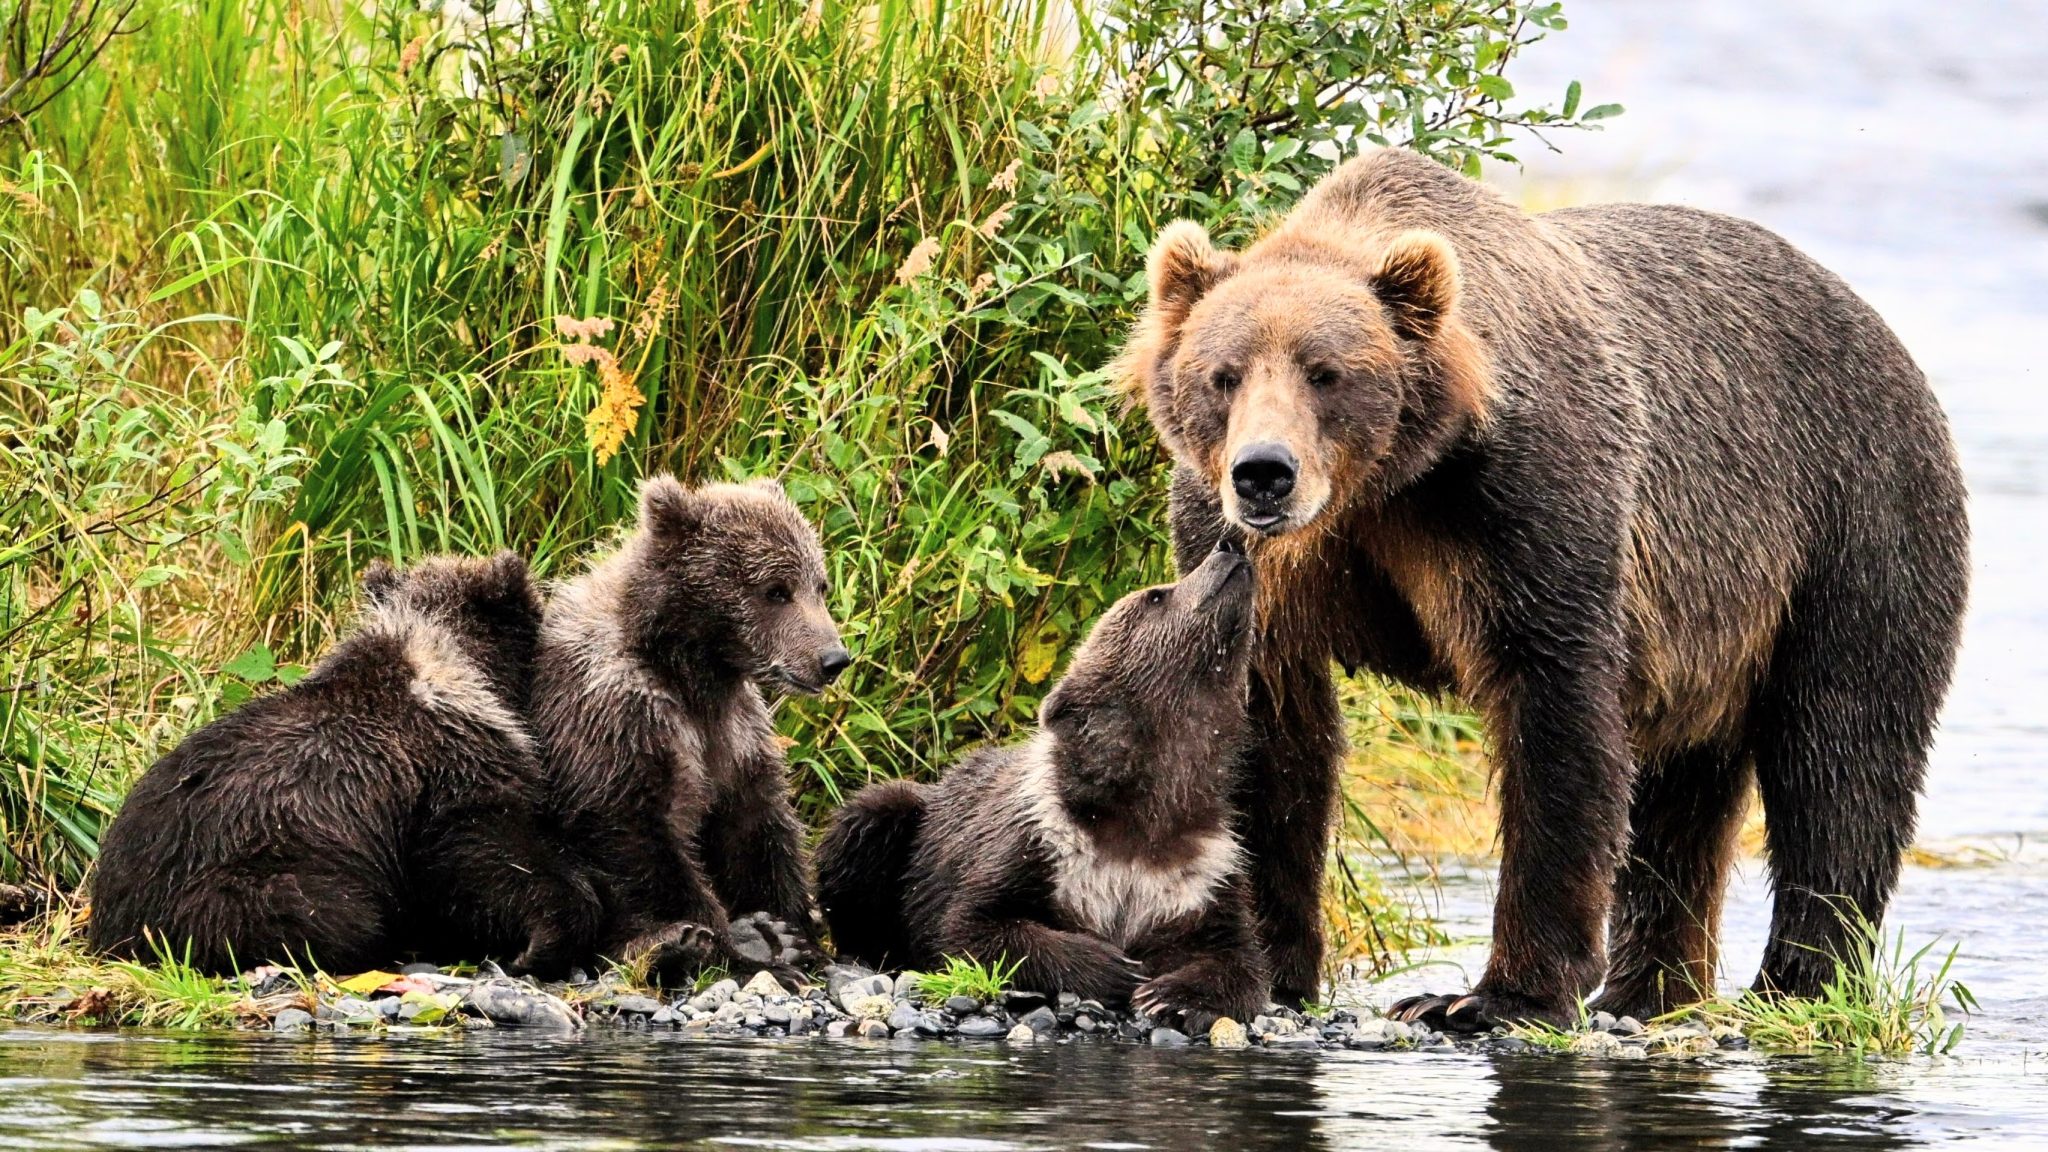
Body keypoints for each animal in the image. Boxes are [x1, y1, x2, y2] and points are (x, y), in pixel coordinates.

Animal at [533, 475, 849, 981]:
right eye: (776, 590)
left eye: (819, 585)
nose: (833, 659)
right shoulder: (616, 714)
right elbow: (633, 829)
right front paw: (740, 943)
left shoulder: (736, 733)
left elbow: (757, 826)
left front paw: (794, 934)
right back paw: (675, 945)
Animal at [815, 540, 1271, 1025]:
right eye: (1156, 595)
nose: (1228, 548)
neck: (1146, 806)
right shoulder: (1040, 839)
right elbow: (971, 924)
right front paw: (1114, 966)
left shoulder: (1203, 872)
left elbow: (1239, 958)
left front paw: (1172, 996)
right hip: (911, 818)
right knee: (869, 822)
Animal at [1119, 146, 1969, 1027]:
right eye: (1223, 375)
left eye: (1328, 374)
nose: (1264, 473)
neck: (1387, 483)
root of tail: (1876, 326)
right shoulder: (1257, 558)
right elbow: (1261, 734)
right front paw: (1238, 975)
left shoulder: (1519, 505)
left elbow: (1556, 710)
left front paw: (1493, 994)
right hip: (1713, 630)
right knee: (1686, 795)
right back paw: (1653, 989)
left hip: (1851, 521)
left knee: (1841, 751)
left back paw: (1798, 983)